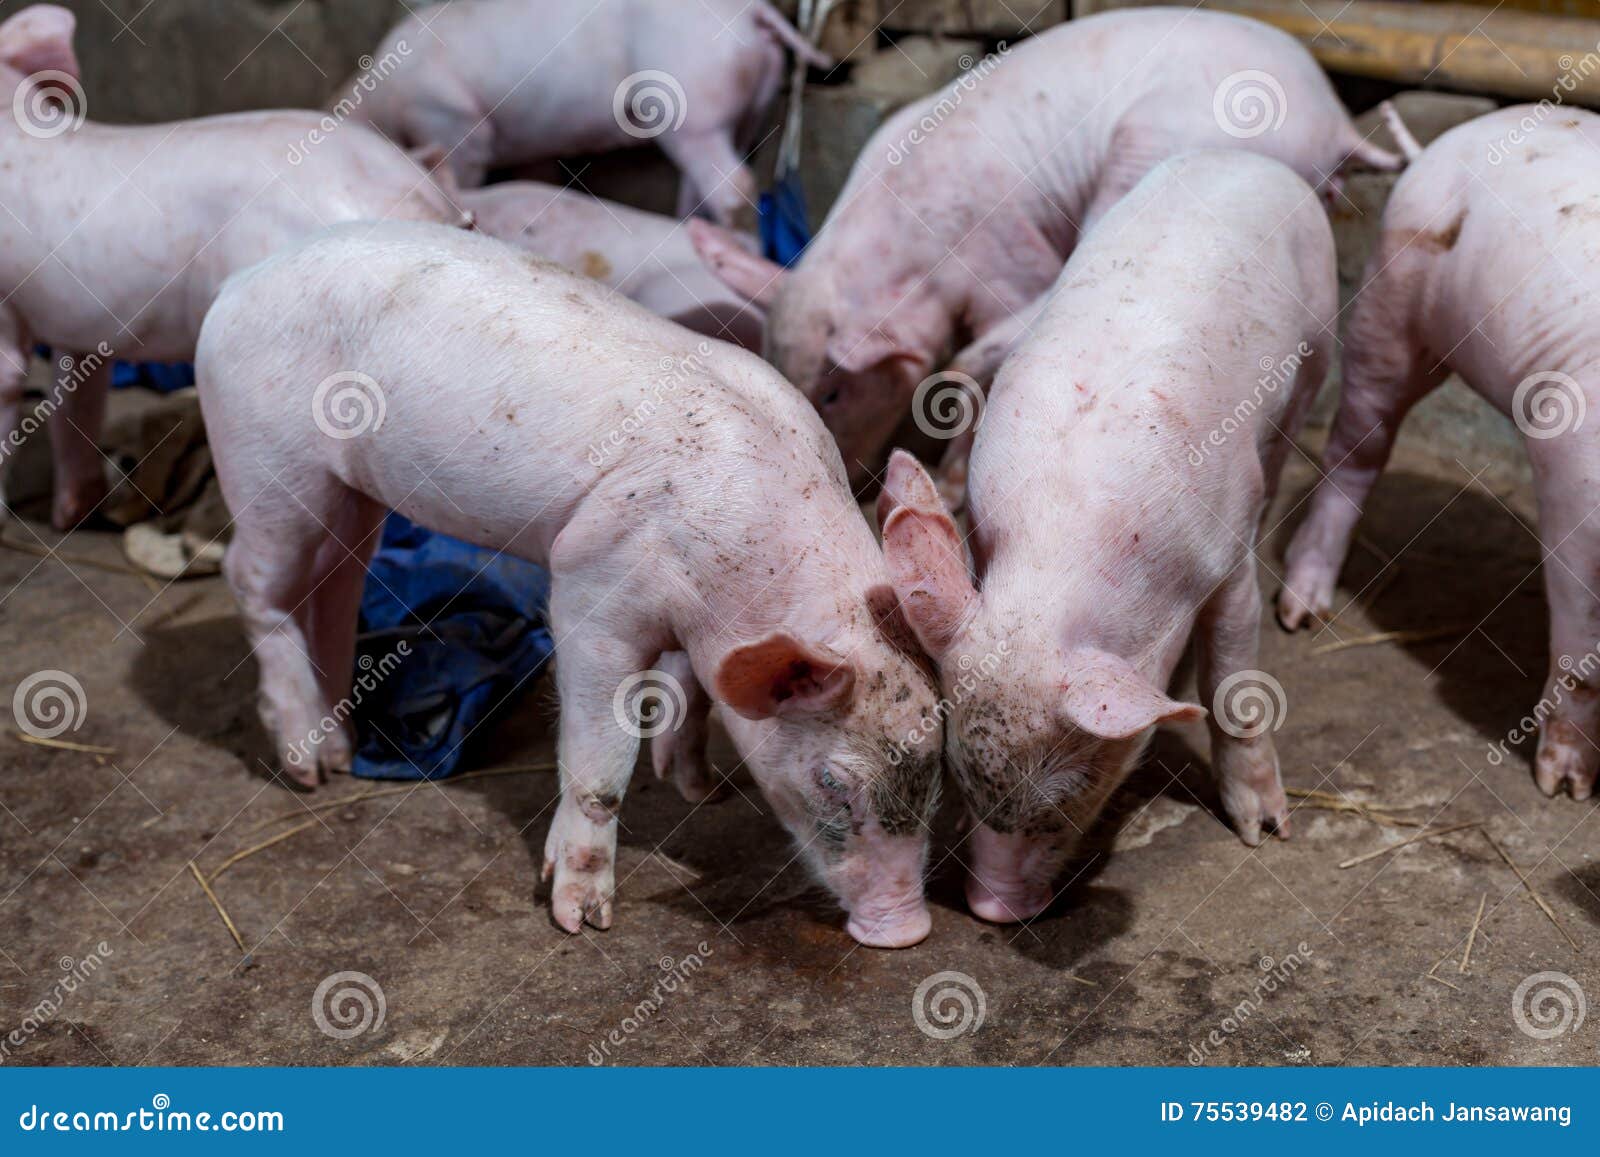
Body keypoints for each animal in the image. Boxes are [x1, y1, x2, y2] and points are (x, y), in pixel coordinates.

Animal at [194, 220, 944, 947]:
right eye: (832, 781)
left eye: (938, 767)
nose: (907, 928)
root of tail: (235, 287)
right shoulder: (592, 579)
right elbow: (602, 762)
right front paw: (580, 918)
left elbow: (695, 691)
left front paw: (700, 791)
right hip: (266, 463)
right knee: (255, 583)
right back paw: (307, 768)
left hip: (350, 496)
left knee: (334, 584)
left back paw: (343, 750)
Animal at [332, 0, 827, 227]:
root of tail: (751, 12)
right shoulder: (531, 148)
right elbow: (540, 175)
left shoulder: (452, 121)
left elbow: (465, 167)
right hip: (748, 109)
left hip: (692, 104)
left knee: (735, 187)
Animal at [689, 6, 1396, 488]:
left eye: (835, 392)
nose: (845, 471)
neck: (912, 249)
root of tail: (1333, 118)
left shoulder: (1007, 258)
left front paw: (950, 479)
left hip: (1150, 154)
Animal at [878, 151, 1336, 923]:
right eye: (963, 781)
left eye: (1068, 794)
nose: (991, 909)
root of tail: (1239, 155)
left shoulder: (1227, 560)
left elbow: (1232, 683)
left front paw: (1265, 830)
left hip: (1321, 335)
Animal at [1279, 105, 1600, 803]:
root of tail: (1439, 146)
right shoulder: (1574, 478)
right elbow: (1584, 646)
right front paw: (1562, 787)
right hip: (1390, 300)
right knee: (1356, 447)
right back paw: (1300, 614)